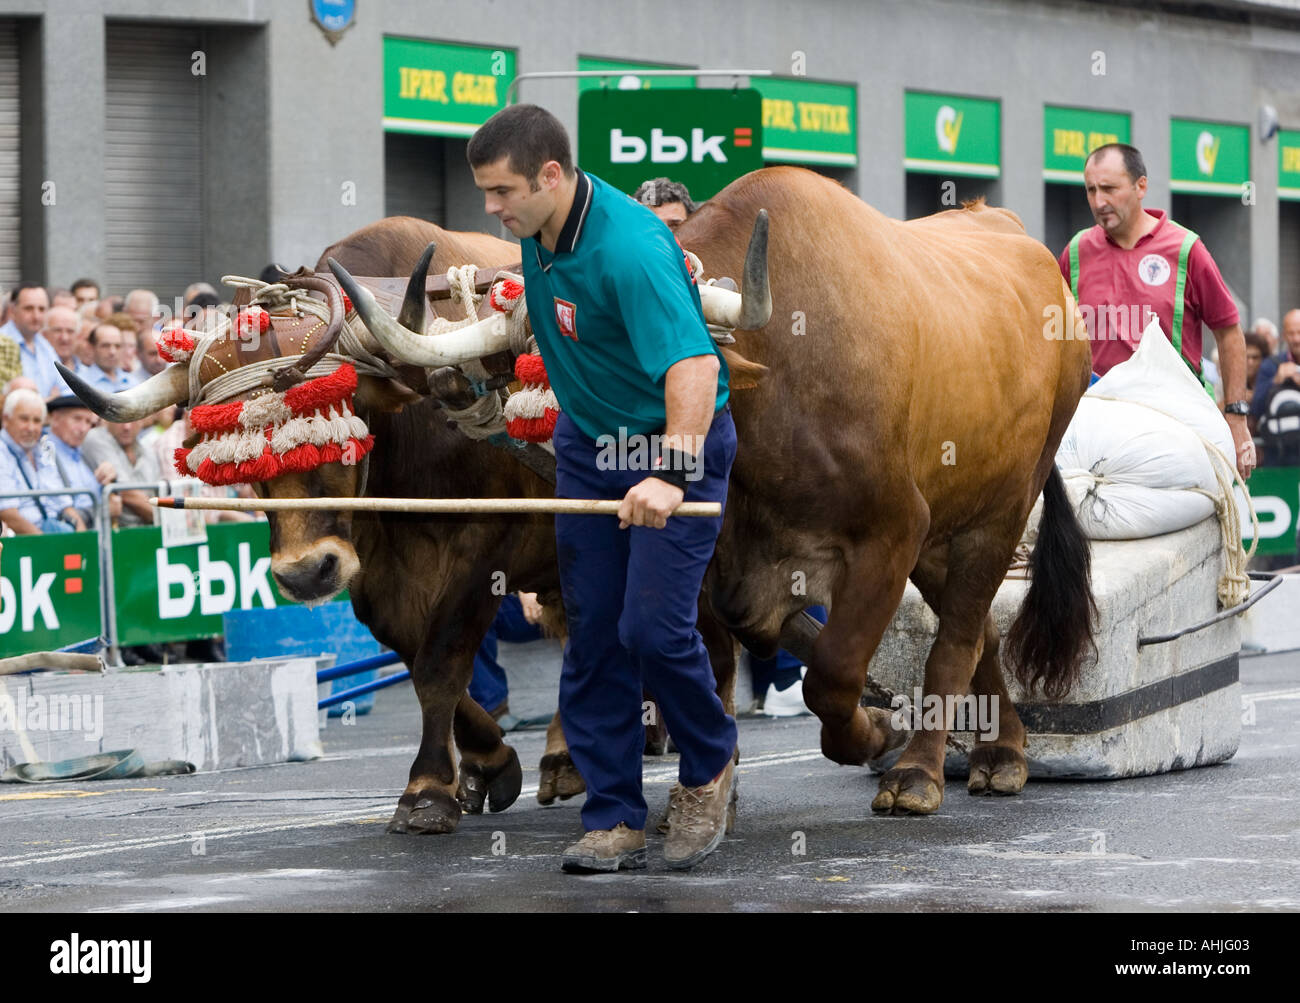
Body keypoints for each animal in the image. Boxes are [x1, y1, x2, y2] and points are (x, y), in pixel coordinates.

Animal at [349, 166, 1097, 817]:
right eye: (519, 376)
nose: (567, 469)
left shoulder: (893, 530)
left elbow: (834, 670)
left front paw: (874, 736)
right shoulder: (712, 563)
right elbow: (709, 662)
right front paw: (713, 785)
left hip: (999, 511)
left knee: (959, 635)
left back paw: (925, 769)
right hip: (948, 530)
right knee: (979, 632)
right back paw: (1002, 750)